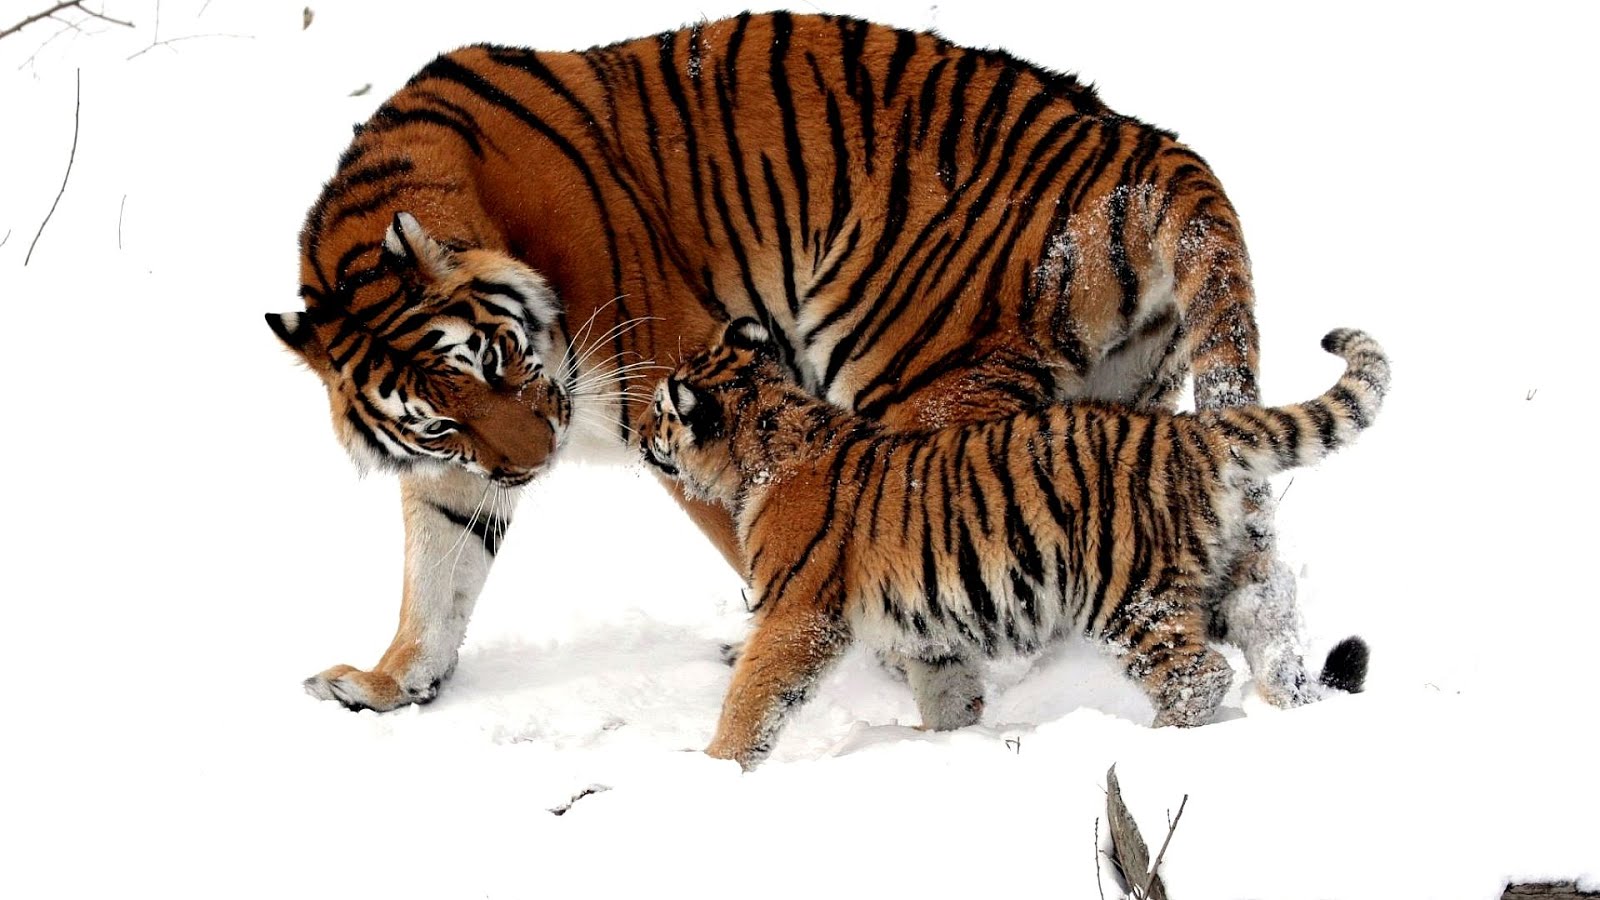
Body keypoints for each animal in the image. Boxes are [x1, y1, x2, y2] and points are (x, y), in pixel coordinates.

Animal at [269, 12, 1301, 716]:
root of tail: (1144, 144)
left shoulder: (672, 383)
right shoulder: (459, 469)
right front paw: (390, 682)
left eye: (495, 359)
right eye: (439, 418)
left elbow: (760, 535)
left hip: (922, 382)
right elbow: (437, 572)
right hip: (1127, 404)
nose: (534, 463)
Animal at [638, 318, 1384, 768]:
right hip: (1227, 574)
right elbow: (946, 690)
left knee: (1200, 675)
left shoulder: (797, 614)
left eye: (661, 412)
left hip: (1128, 594)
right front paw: (942, 740)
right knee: (1274, 629)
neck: (769, 437)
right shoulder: (928, 628)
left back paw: (1155, 743)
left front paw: (713, 768)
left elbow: (754, 696)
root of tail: (1193, 430)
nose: (640, 434)